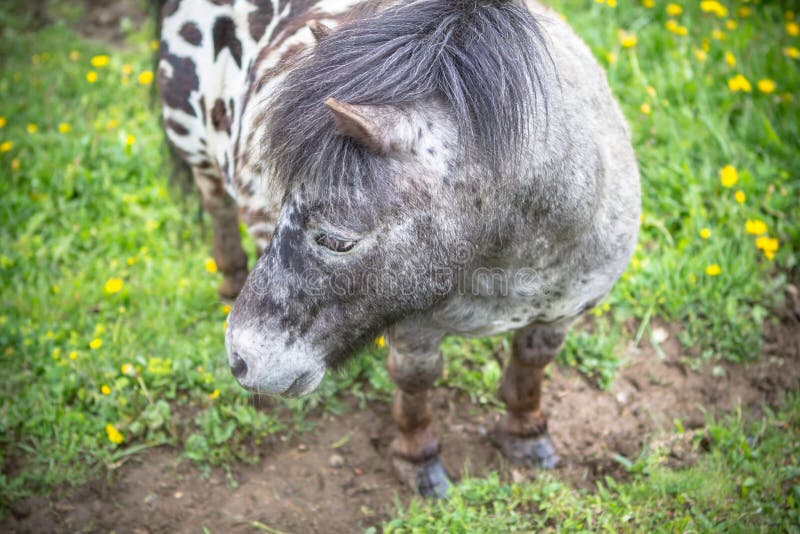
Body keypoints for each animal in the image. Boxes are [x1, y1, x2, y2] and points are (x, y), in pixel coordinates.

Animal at [157, 0, 640, 497]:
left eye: (337, 240)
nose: (241, 358)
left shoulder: (560, 315)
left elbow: (530, 368)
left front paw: (527, 435)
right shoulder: (414, 332)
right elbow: (417, 384)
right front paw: (419, 460)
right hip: (194, 145)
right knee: (216, 204)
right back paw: (229, 279)